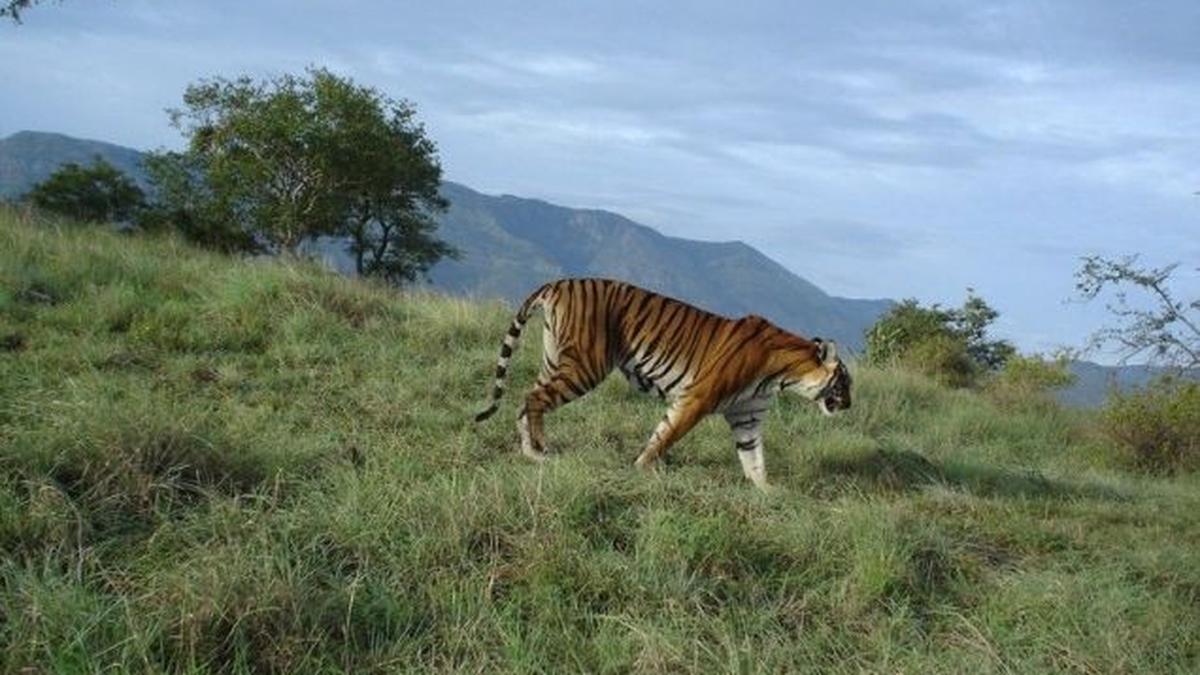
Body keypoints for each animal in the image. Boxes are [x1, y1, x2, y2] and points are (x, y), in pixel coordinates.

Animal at [474, 278, 852, 489]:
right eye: (845, 382)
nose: (850, 405)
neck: (781, 377)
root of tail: (560, 283)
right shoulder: (697, 399)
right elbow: (666, 434)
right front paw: (643, 469)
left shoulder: (747, 416)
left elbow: (753, 457)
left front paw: (767, 492)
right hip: (585, 366)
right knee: (534, 399)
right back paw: (540, 448)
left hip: (555, 359)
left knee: (526, 400)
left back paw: (529, 453)